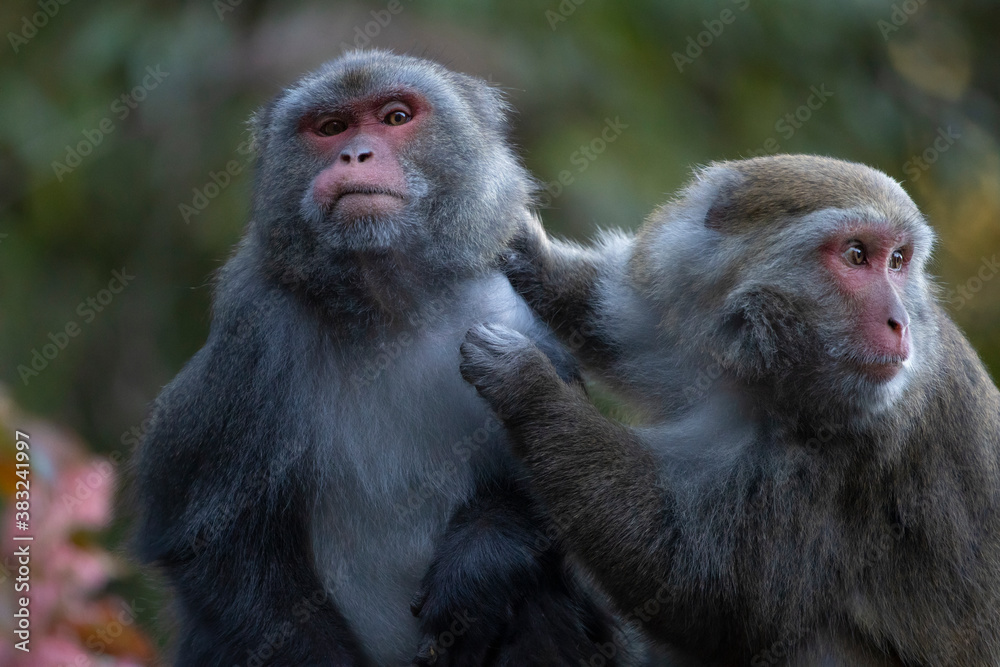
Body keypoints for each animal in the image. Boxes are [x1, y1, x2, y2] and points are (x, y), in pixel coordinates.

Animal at [131, 50, 635, 666]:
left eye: (396, 117)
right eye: (331, 128)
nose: (355, 155)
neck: (388, 306)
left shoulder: (516, 320)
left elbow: (561, 493)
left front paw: (477, 568)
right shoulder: (252, 335)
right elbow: (210, 543)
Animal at [459, 154, 1000, 665]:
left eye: (898, 262)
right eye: (857, 255)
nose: (899, 322)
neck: (765, 373)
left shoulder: (856, 454)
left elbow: (710, 593)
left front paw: (528, 385)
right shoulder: (685, 309)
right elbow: (609, 317)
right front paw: (525, 250)